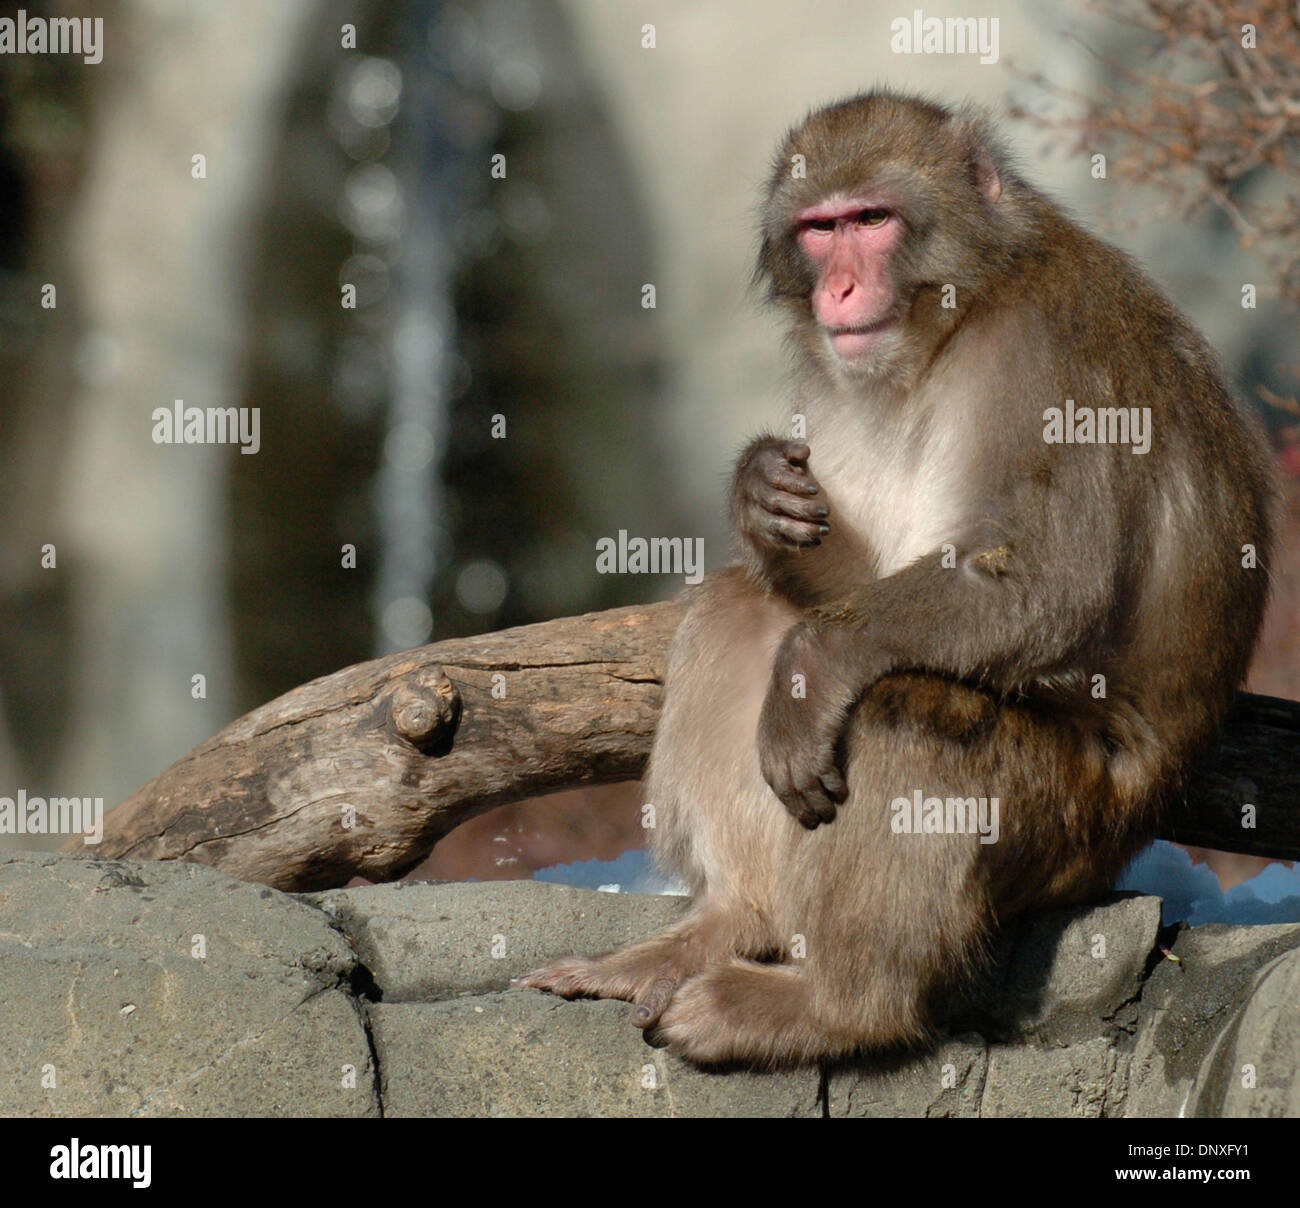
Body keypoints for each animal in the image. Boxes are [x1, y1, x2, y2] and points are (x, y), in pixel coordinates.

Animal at [519, 91, 1276, 1067]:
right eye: (819, 229)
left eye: (872, 220)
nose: (838, 290)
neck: (959, 314)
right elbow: (860, 572)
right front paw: (758, 492)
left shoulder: (1049, 360)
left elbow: (1043, 587)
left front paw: (810, 675)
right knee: (740, 609)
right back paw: (724, 924)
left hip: (1071, 826)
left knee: (905, 712)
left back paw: (836, 1006)